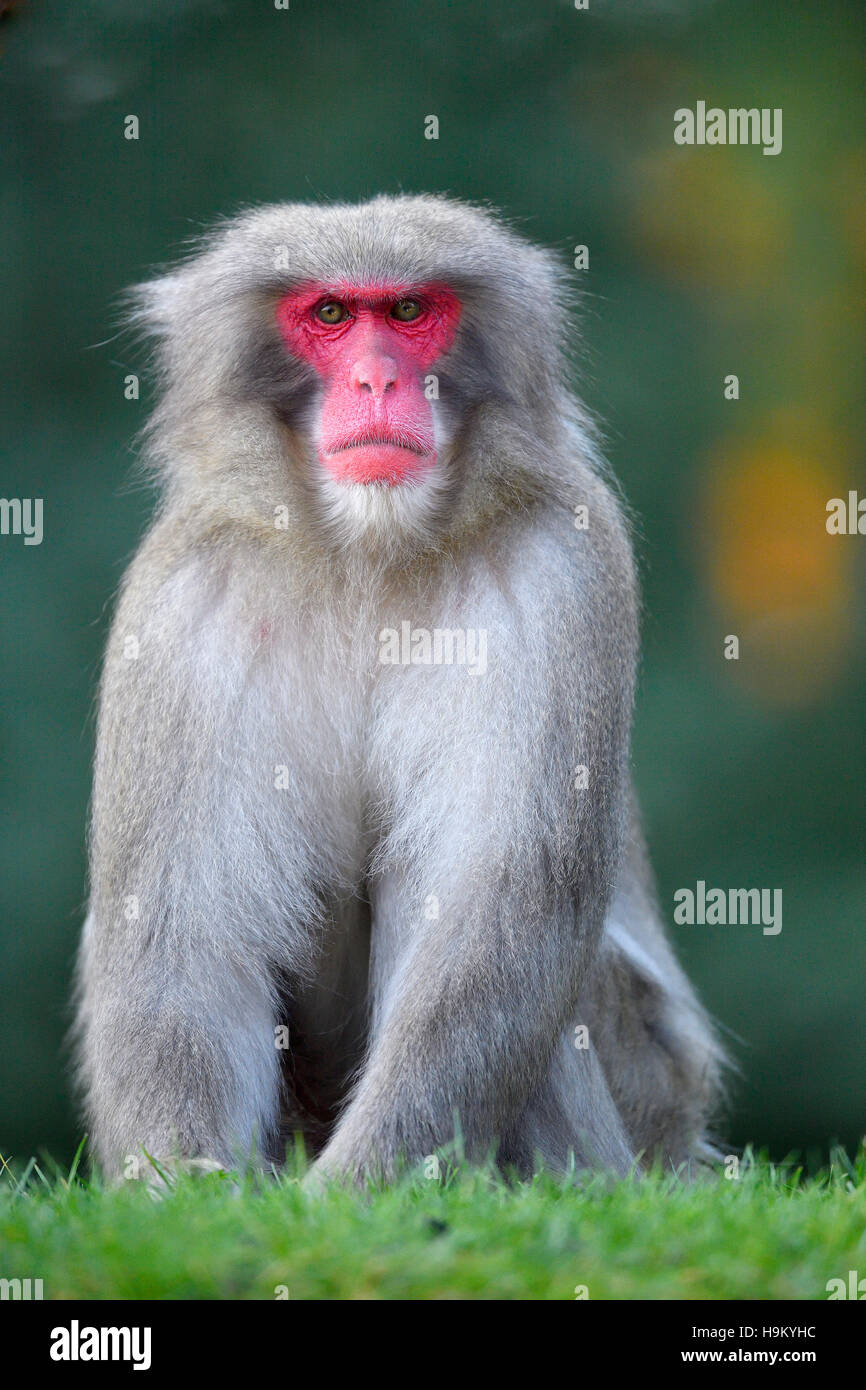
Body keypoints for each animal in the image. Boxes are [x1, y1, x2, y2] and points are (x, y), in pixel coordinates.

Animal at [74, 194, 724, 1186]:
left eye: (411, 312)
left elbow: (501, 910)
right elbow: (180, 928)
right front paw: (181, 1191)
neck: (367, 555)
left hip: (648, 1087)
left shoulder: (562, 557)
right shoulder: (185, 595)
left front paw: (351, 1195)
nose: (377, 382)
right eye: (332, 314)